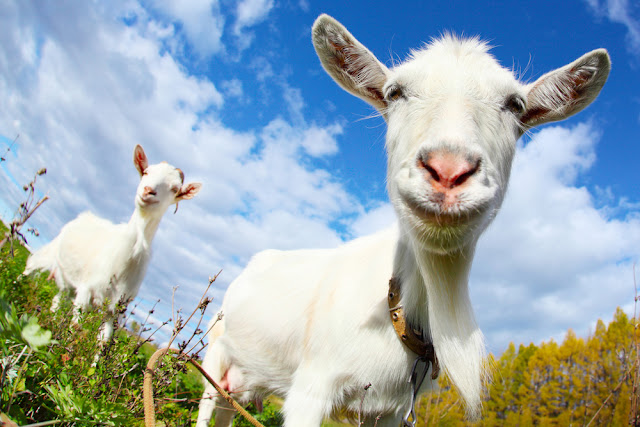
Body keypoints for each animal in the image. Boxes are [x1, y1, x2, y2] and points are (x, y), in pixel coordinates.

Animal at [24, 145, 201, 340]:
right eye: (146, 172)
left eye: (175, 189)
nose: (148, 191)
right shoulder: (85, 291)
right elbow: (75, 327)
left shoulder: (116, 310)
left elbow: (104, 341)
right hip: (49, 254)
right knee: (29, 268)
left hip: (68, 284)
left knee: (57, 298)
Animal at [196, 14, 610, 426]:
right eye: (395, 93)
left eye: (515, 104)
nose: (448, 170)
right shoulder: (310, 389)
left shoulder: (389, 411)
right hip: (214, 356)